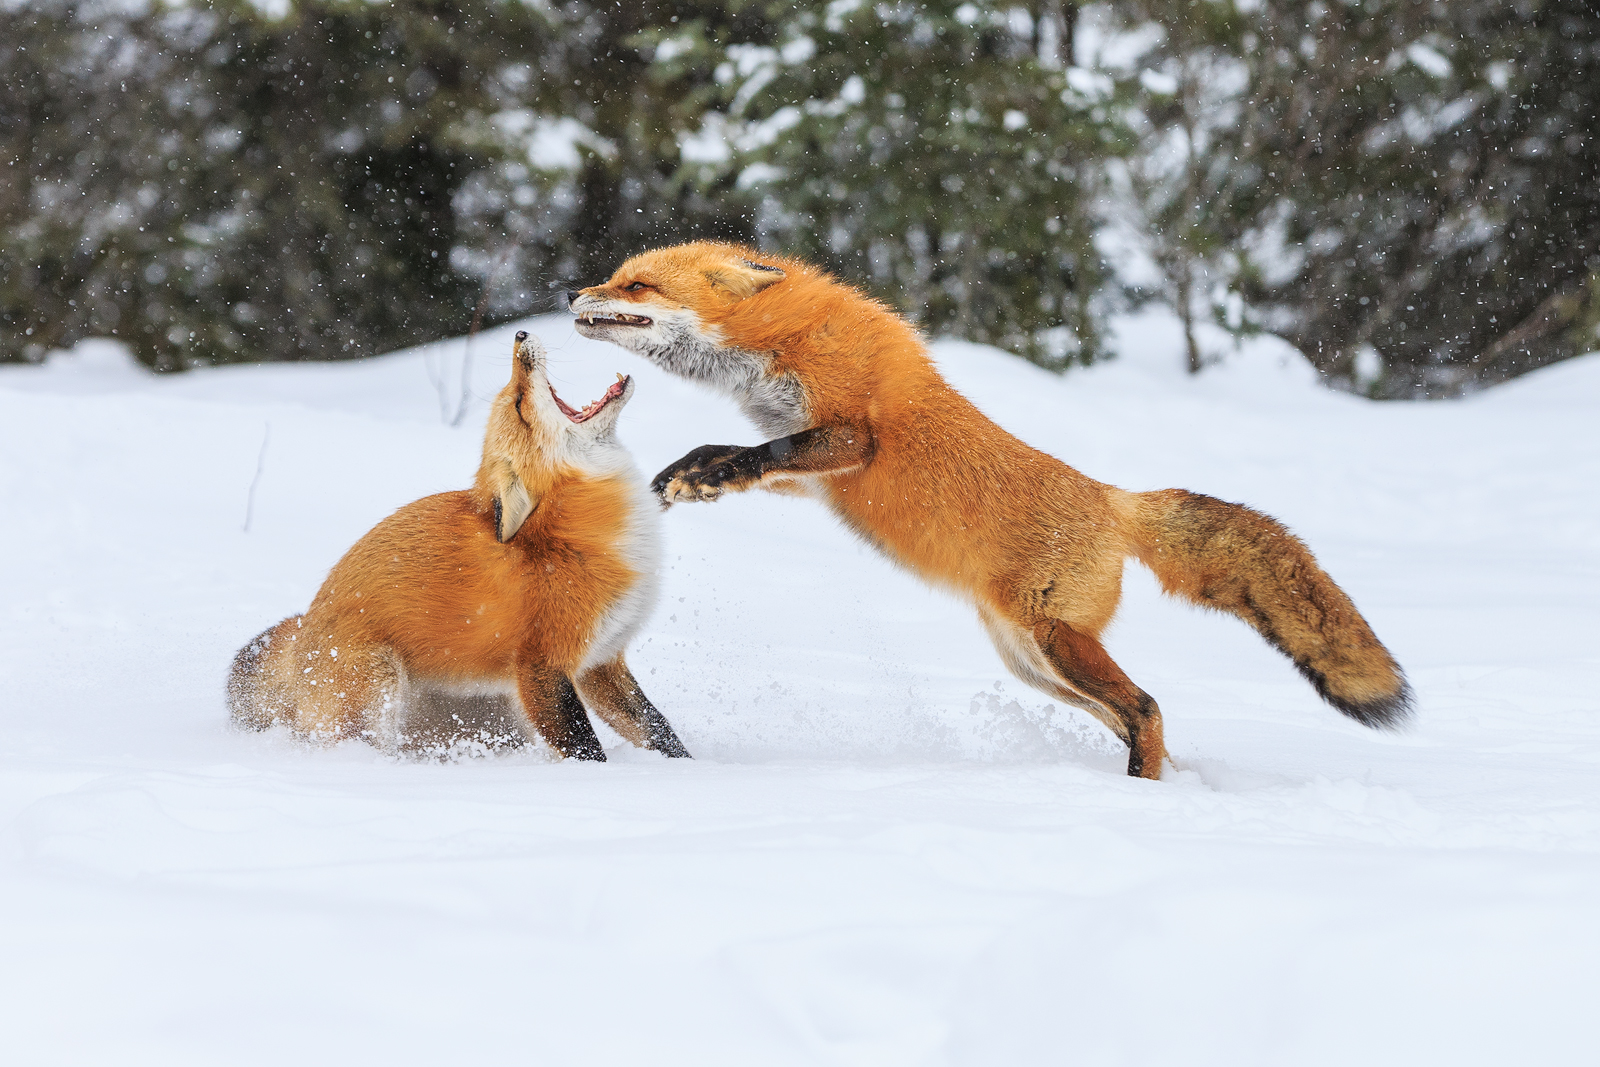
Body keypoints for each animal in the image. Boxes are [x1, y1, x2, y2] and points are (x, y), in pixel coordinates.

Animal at [226, 331, 690, 761]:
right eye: (519, 403)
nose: (520, 335)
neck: (569, 537)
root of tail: (305, 629)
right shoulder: (542, 665)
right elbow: (584, 747)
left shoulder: (601, 661)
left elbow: (657, 729)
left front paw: (685, 770)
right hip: (379, 685)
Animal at [568, 241, 1412, 779]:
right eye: (617, 277)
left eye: (637, 287)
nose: (573, 293)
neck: (787, 338)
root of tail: (1113, 500)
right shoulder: (814, 473)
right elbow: (740, 457)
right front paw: (688, 480)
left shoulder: (850, 436)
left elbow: (761, 450)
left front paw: (699, 475)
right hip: (1032, 661)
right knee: (1135, 716)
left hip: (1056, 641)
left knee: (1146, 707)